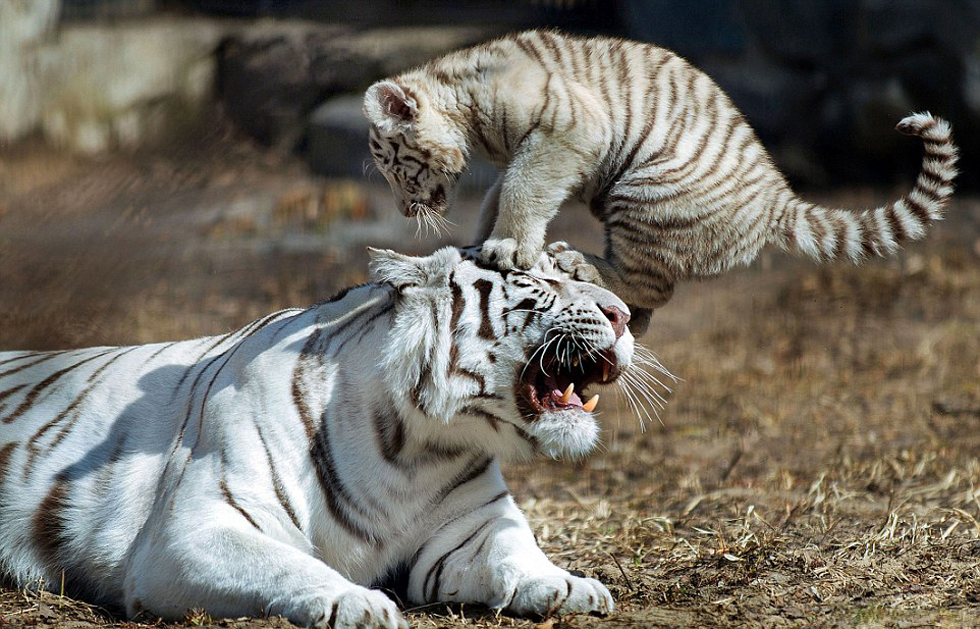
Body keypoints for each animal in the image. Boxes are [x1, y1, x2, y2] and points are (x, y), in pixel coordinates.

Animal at [0, 246, 641, 628]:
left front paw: (568, 585)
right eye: (535, 278)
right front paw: (358, 602)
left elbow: (516, 553)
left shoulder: (472, 528)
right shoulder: (192, 531)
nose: (625, 314)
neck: (416, 447)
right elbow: (285, 565)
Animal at [363, 29, 959, 334]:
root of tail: (779, 201)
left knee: (654, 286)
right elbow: (500, 192)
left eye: (393, 165)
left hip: (642, 193)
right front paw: (485, 241)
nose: (403, 211)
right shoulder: (545, 148)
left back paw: (582, 265)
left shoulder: (567, 128)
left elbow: (522, 187)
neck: (463, 101)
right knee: (647, 300)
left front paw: (505, 247)